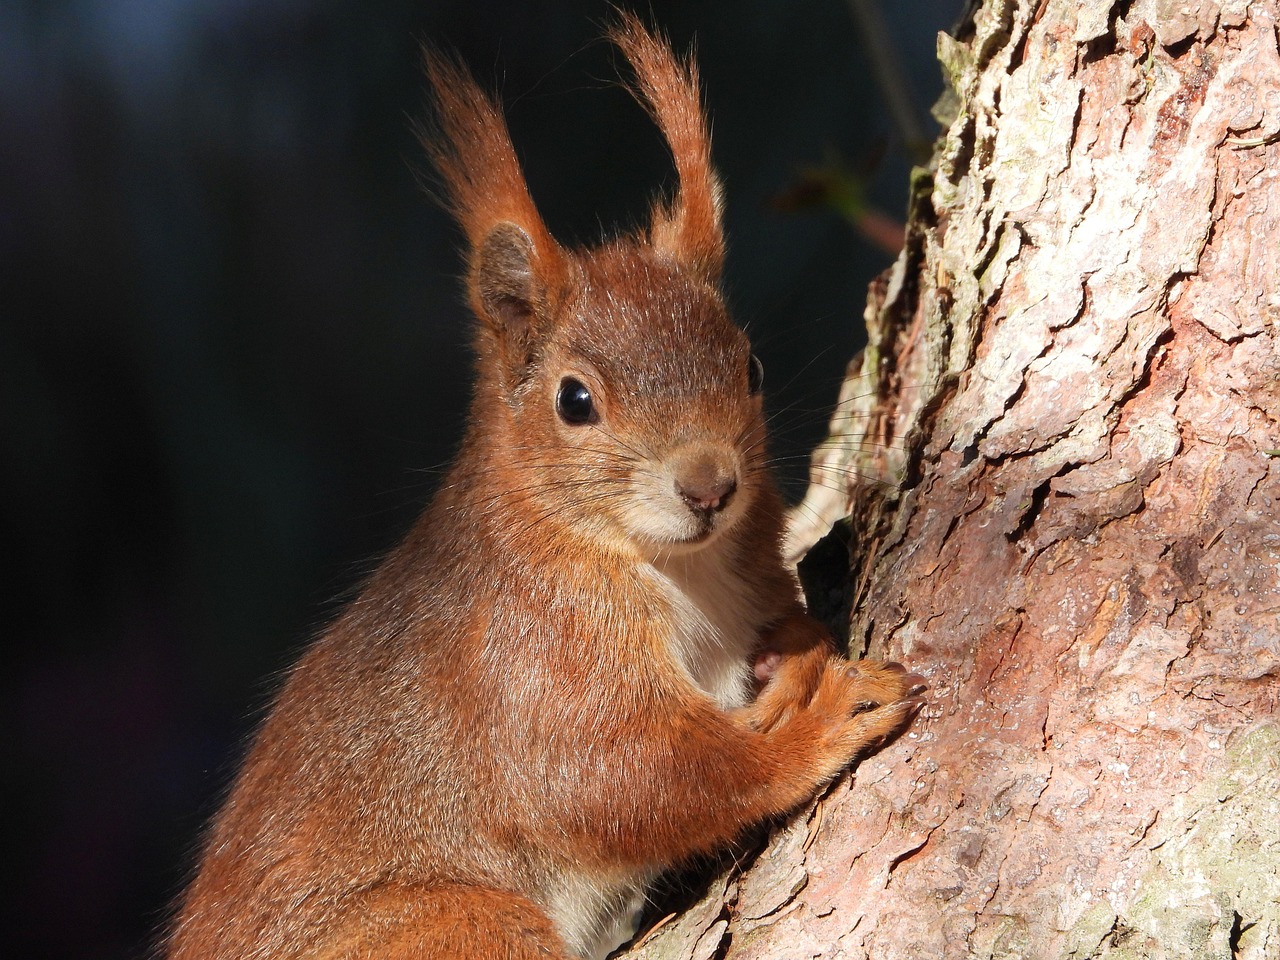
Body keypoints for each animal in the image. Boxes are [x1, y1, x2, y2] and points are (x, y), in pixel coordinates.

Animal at [165, 15, 925, 960]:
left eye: (749, 366)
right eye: (575, 400)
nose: (710, 485)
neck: (674, 563)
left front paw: (794, 651)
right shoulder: (536, 666)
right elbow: (634, 778)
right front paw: (825, 720)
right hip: (461, 926)